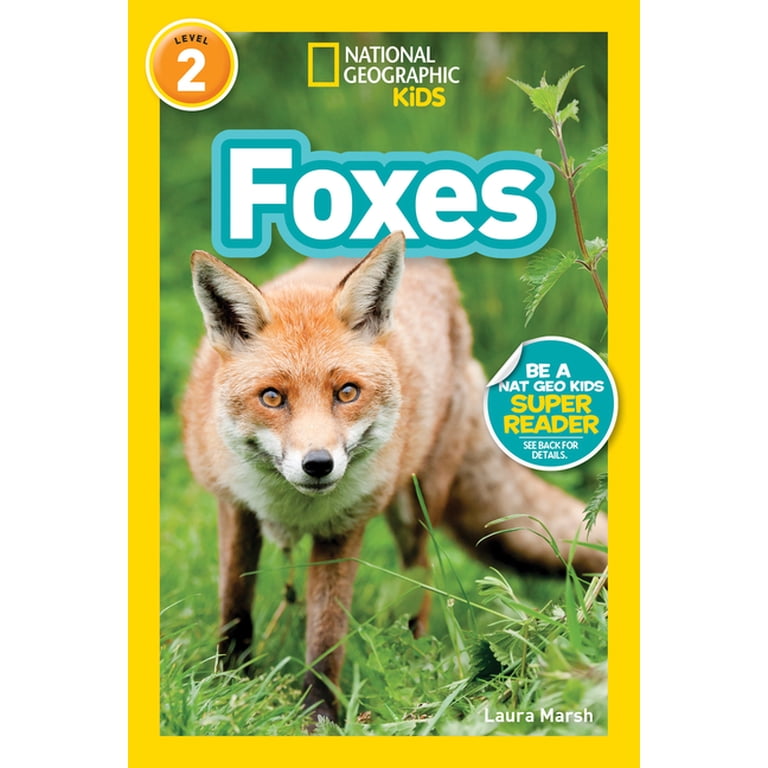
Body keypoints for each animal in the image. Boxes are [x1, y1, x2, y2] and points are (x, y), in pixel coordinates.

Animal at [182, 231, 607, 726]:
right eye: (272, 398)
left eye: (347, 392)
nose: (318, 464)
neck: (290, 504)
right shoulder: (235, 507)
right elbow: (235, 606)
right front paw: (227, 684)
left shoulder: (343, 529)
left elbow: (326, 638)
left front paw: (320, 719)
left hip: (415, 506)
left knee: (420, 577)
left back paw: (416, 659)